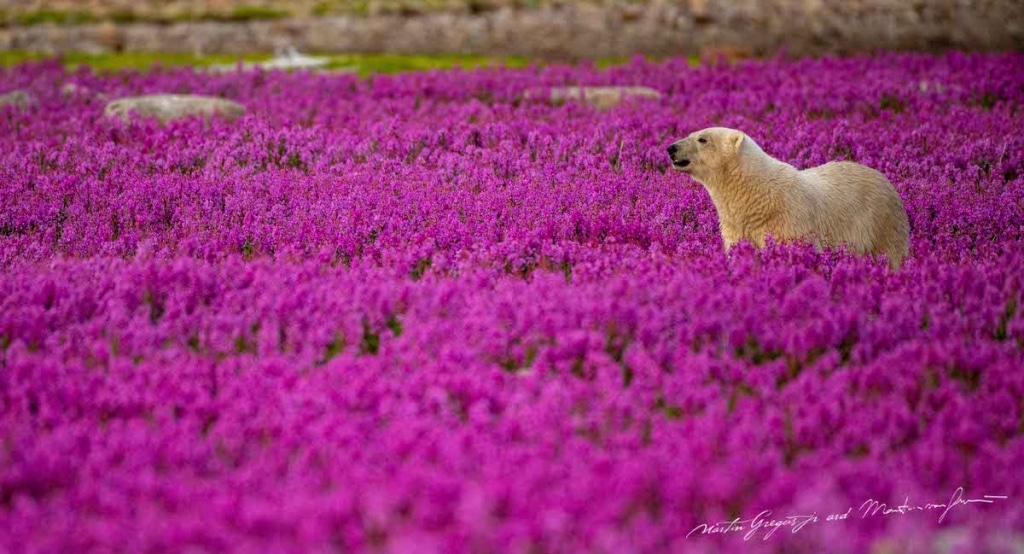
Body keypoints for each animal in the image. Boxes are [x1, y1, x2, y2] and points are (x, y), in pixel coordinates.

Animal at [666, 127, 910, 269]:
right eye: (691, 134)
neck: (756, 194)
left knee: (892, 254)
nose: (671, 148)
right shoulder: (737, 224)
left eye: (702, 139)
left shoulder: (788, 218)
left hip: (882, 222)